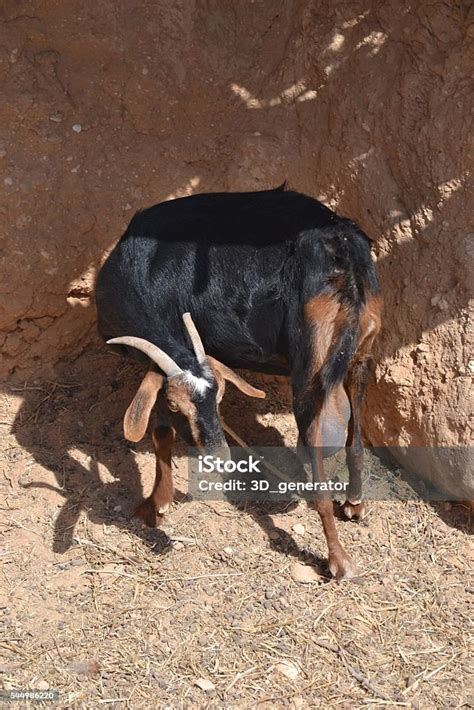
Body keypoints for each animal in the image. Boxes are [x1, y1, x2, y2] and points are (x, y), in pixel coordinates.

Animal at [96, 186, 381, 579]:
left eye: (217, 399)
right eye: (179, 404)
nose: (219, 457)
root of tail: (343, 252)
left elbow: (161, 431)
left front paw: (154, 505)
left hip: (310, 365)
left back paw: (338, 560)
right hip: (360, 353)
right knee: (355, 436)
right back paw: (354, 503)